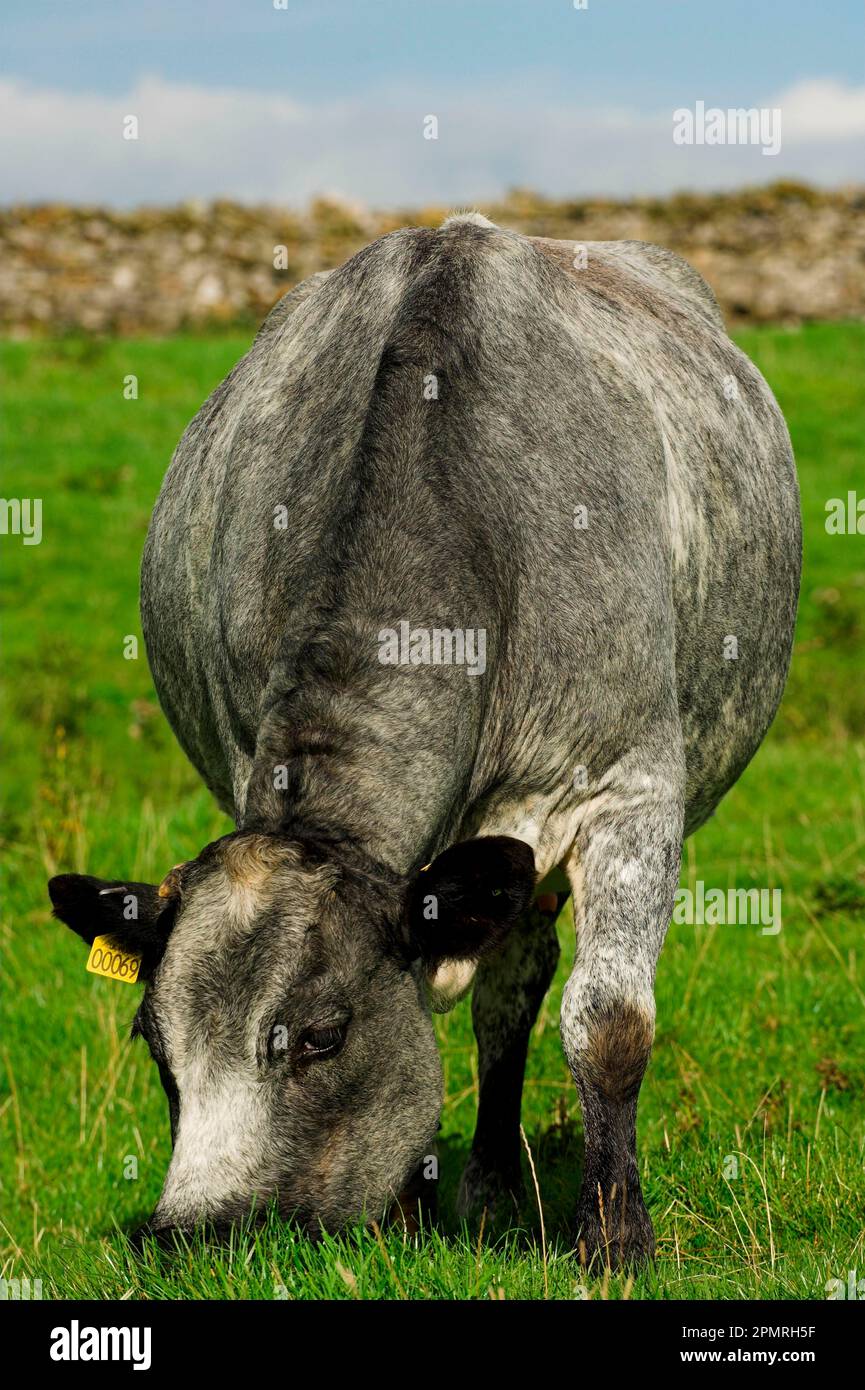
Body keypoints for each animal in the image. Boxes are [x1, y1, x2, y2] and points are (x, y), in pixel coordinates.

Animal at [49, 213, 801, 1266]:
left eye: (320, 1034)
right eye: (154, 1045)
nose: (192, 1233)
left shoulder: (629, 790)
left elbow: (608, 1024)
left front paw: (614, 1235)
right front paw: (408, 1210)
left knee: (514, 995)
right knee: (507, 995)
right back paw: (486, 1185)